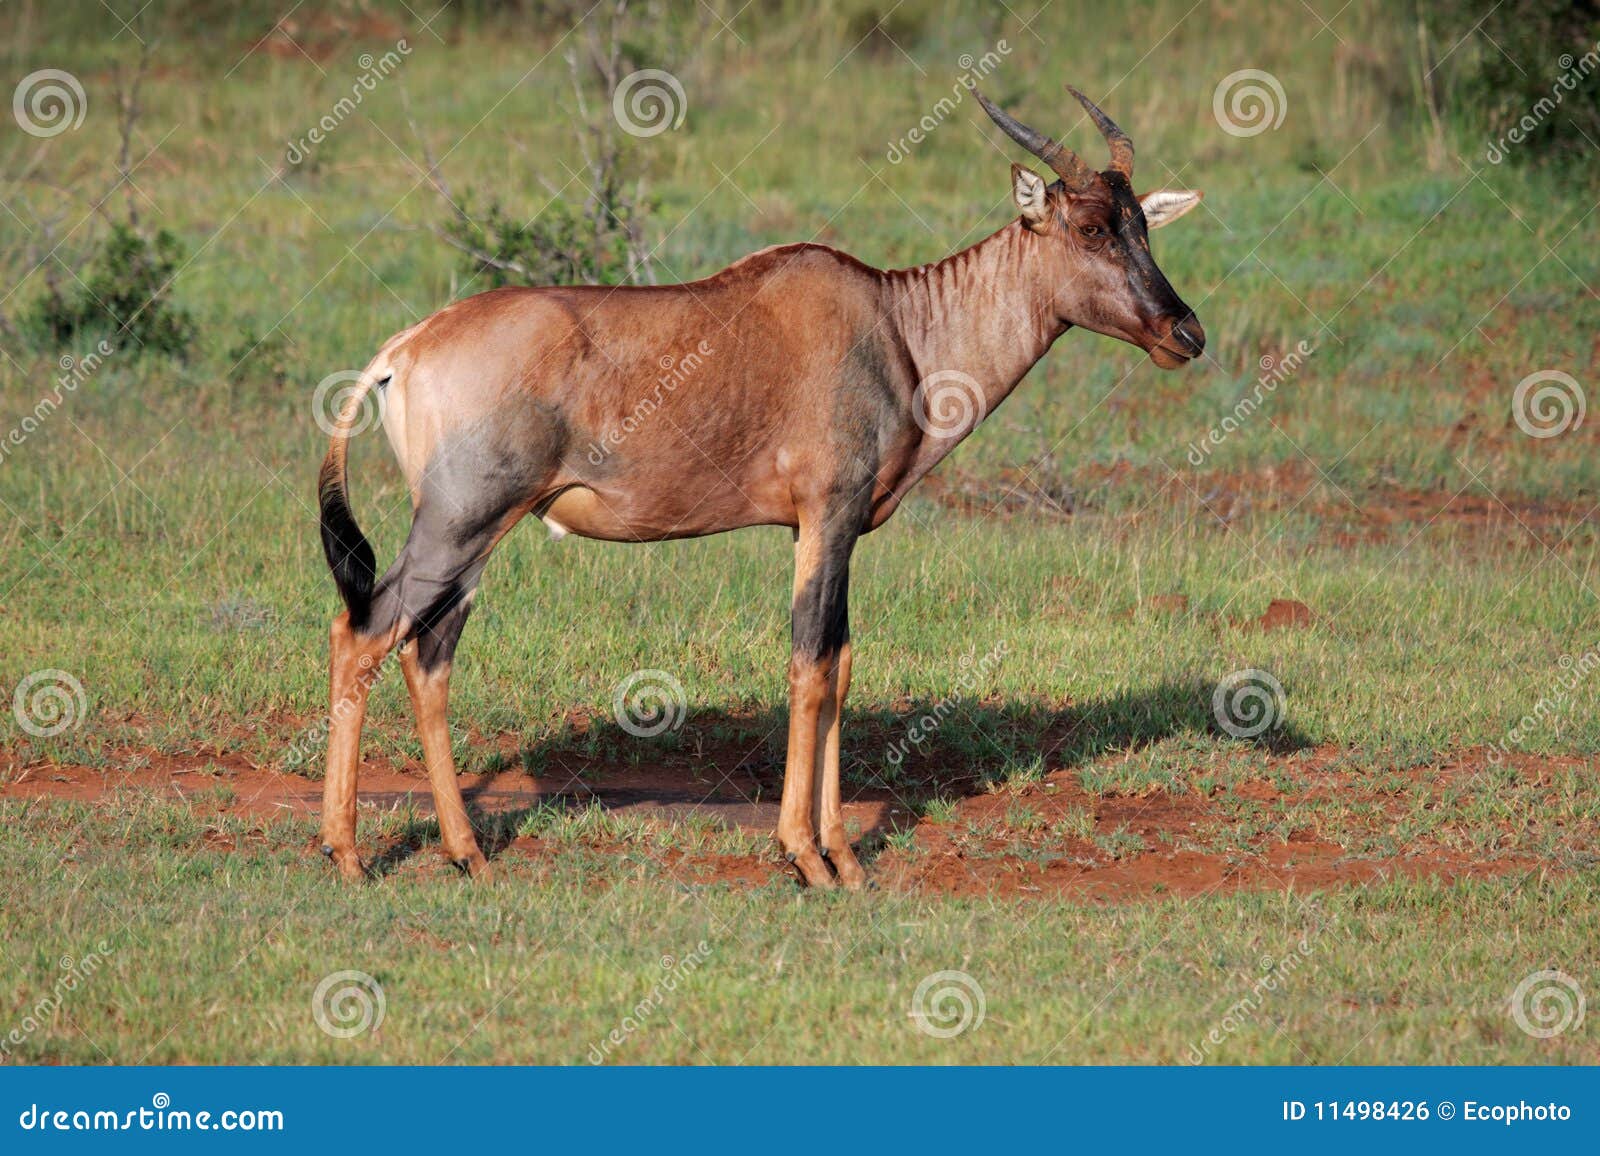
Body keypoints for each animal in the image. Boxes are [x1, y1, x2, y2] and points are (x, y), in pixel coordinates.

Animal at [316, 85, 1205, 888]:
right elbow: (809, 665)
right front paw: (805, 857)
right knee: (365, 632)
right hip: (459, 521)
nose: (1185, 333)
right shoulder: (827, 516)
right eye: (1089, 226)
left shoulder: (829, 530)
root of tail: (410, 344)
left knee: (427, 653)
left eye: (1143, 223)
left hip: (475, 536)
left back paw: (465, 852)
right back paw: (349, 856)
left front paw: (846, 857)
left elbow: (840, 664)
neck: (894, 324)